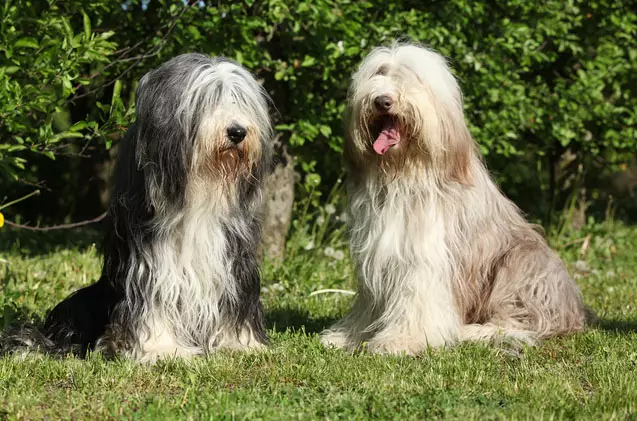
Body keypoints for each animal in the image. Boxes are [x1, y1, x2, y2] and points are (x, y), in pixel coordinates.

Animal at [4, 52, 274, 360]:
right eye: (206, 100)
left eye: (239, 99)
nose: (238, 132)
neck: (200, 188)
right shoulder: (149, 257)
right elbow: (153, 299)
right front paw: (163, 348)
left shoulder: (234, 257)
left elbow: (235, 299)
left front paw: (240, 343)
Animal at [320, 42, 584, 352]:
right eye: (378, 74)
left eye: (411, 78)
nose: (382, 101)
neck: (403, 174)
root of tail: (574, 313)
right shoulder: (377, 254)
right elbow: (369, 304)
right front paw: (348, 336)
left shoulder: (424, 255)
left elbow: (417, 298)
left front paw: (402, 340)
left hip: (522, 264)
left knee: (519, 322)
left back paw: (471, 332)